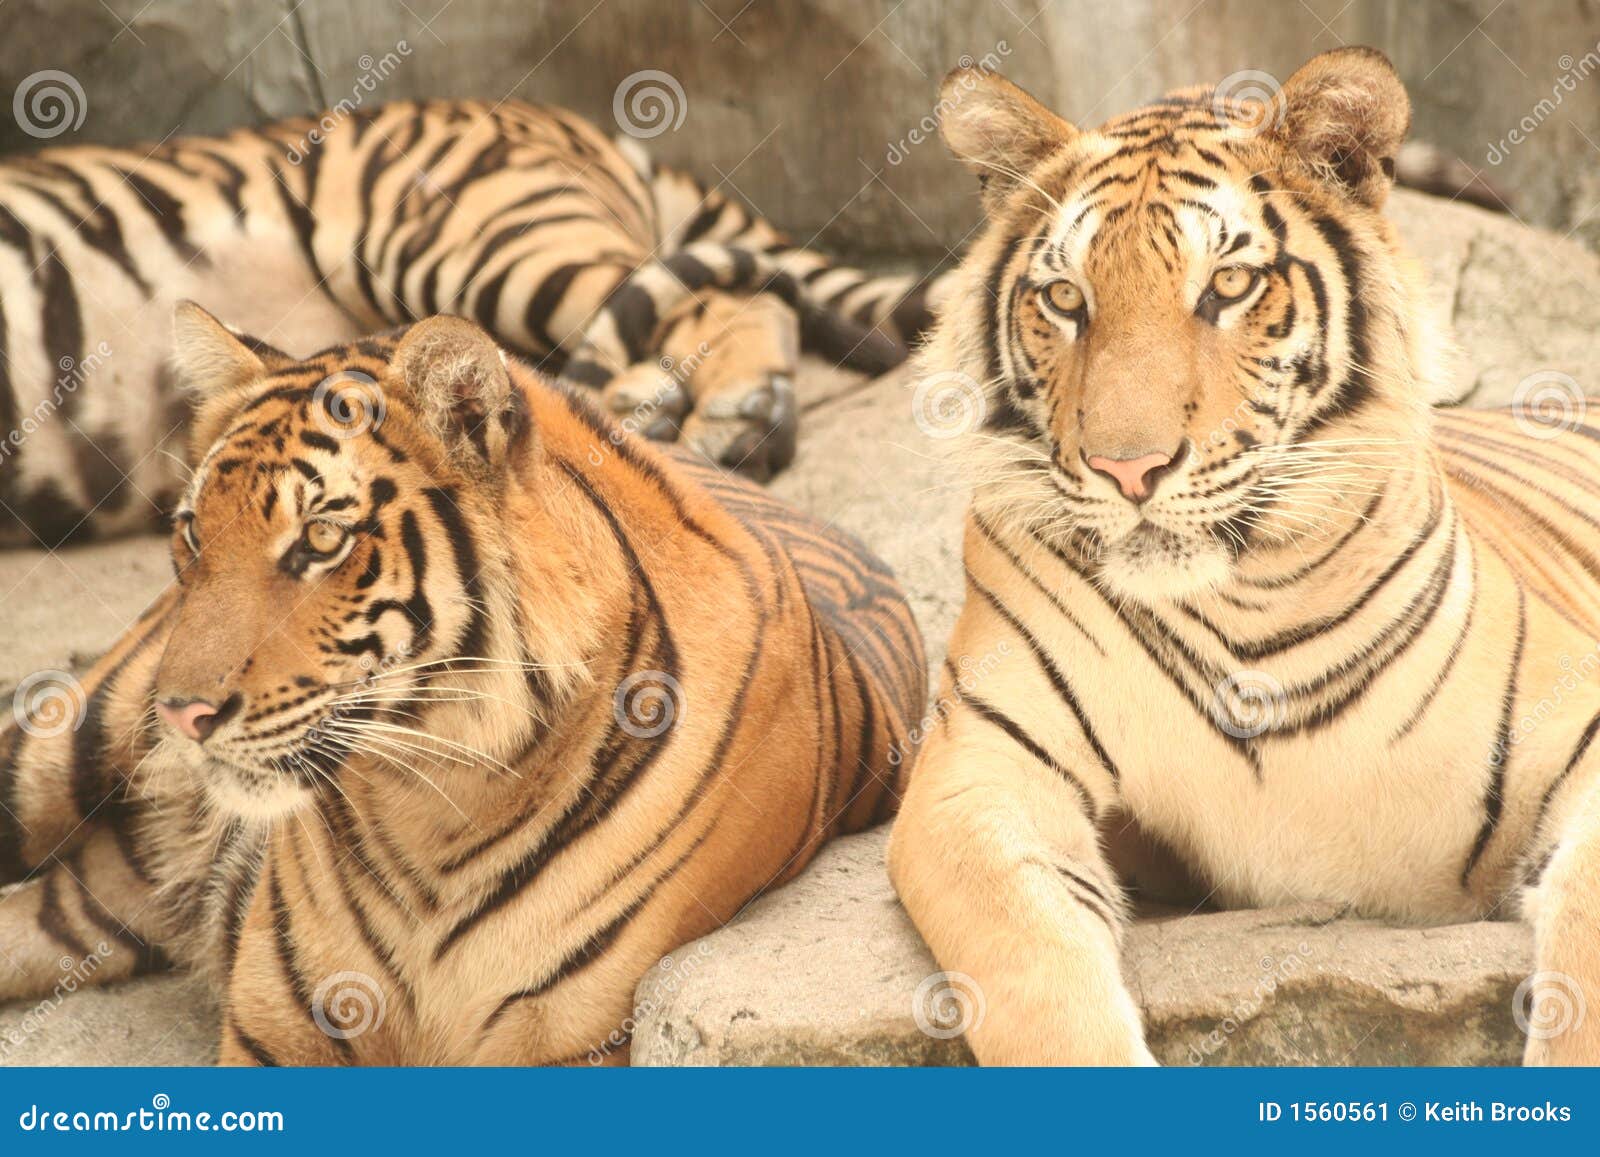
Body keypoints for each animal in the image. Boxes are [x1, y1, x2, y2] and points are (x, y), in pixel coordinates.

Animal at [0, 306, 926, 1065]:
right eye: (195, 531)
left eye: (323, 538)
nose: (182, 713)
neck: (433, 798)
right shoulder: (279, 1028)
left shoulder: (569, 1041)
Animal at [886, 47, 1600, 1066]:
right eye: (1066, 299)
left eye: (1226, 287)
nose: (1127, 467)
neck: (1248, 600)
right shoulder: (979, 772)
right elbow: (1034, 976)